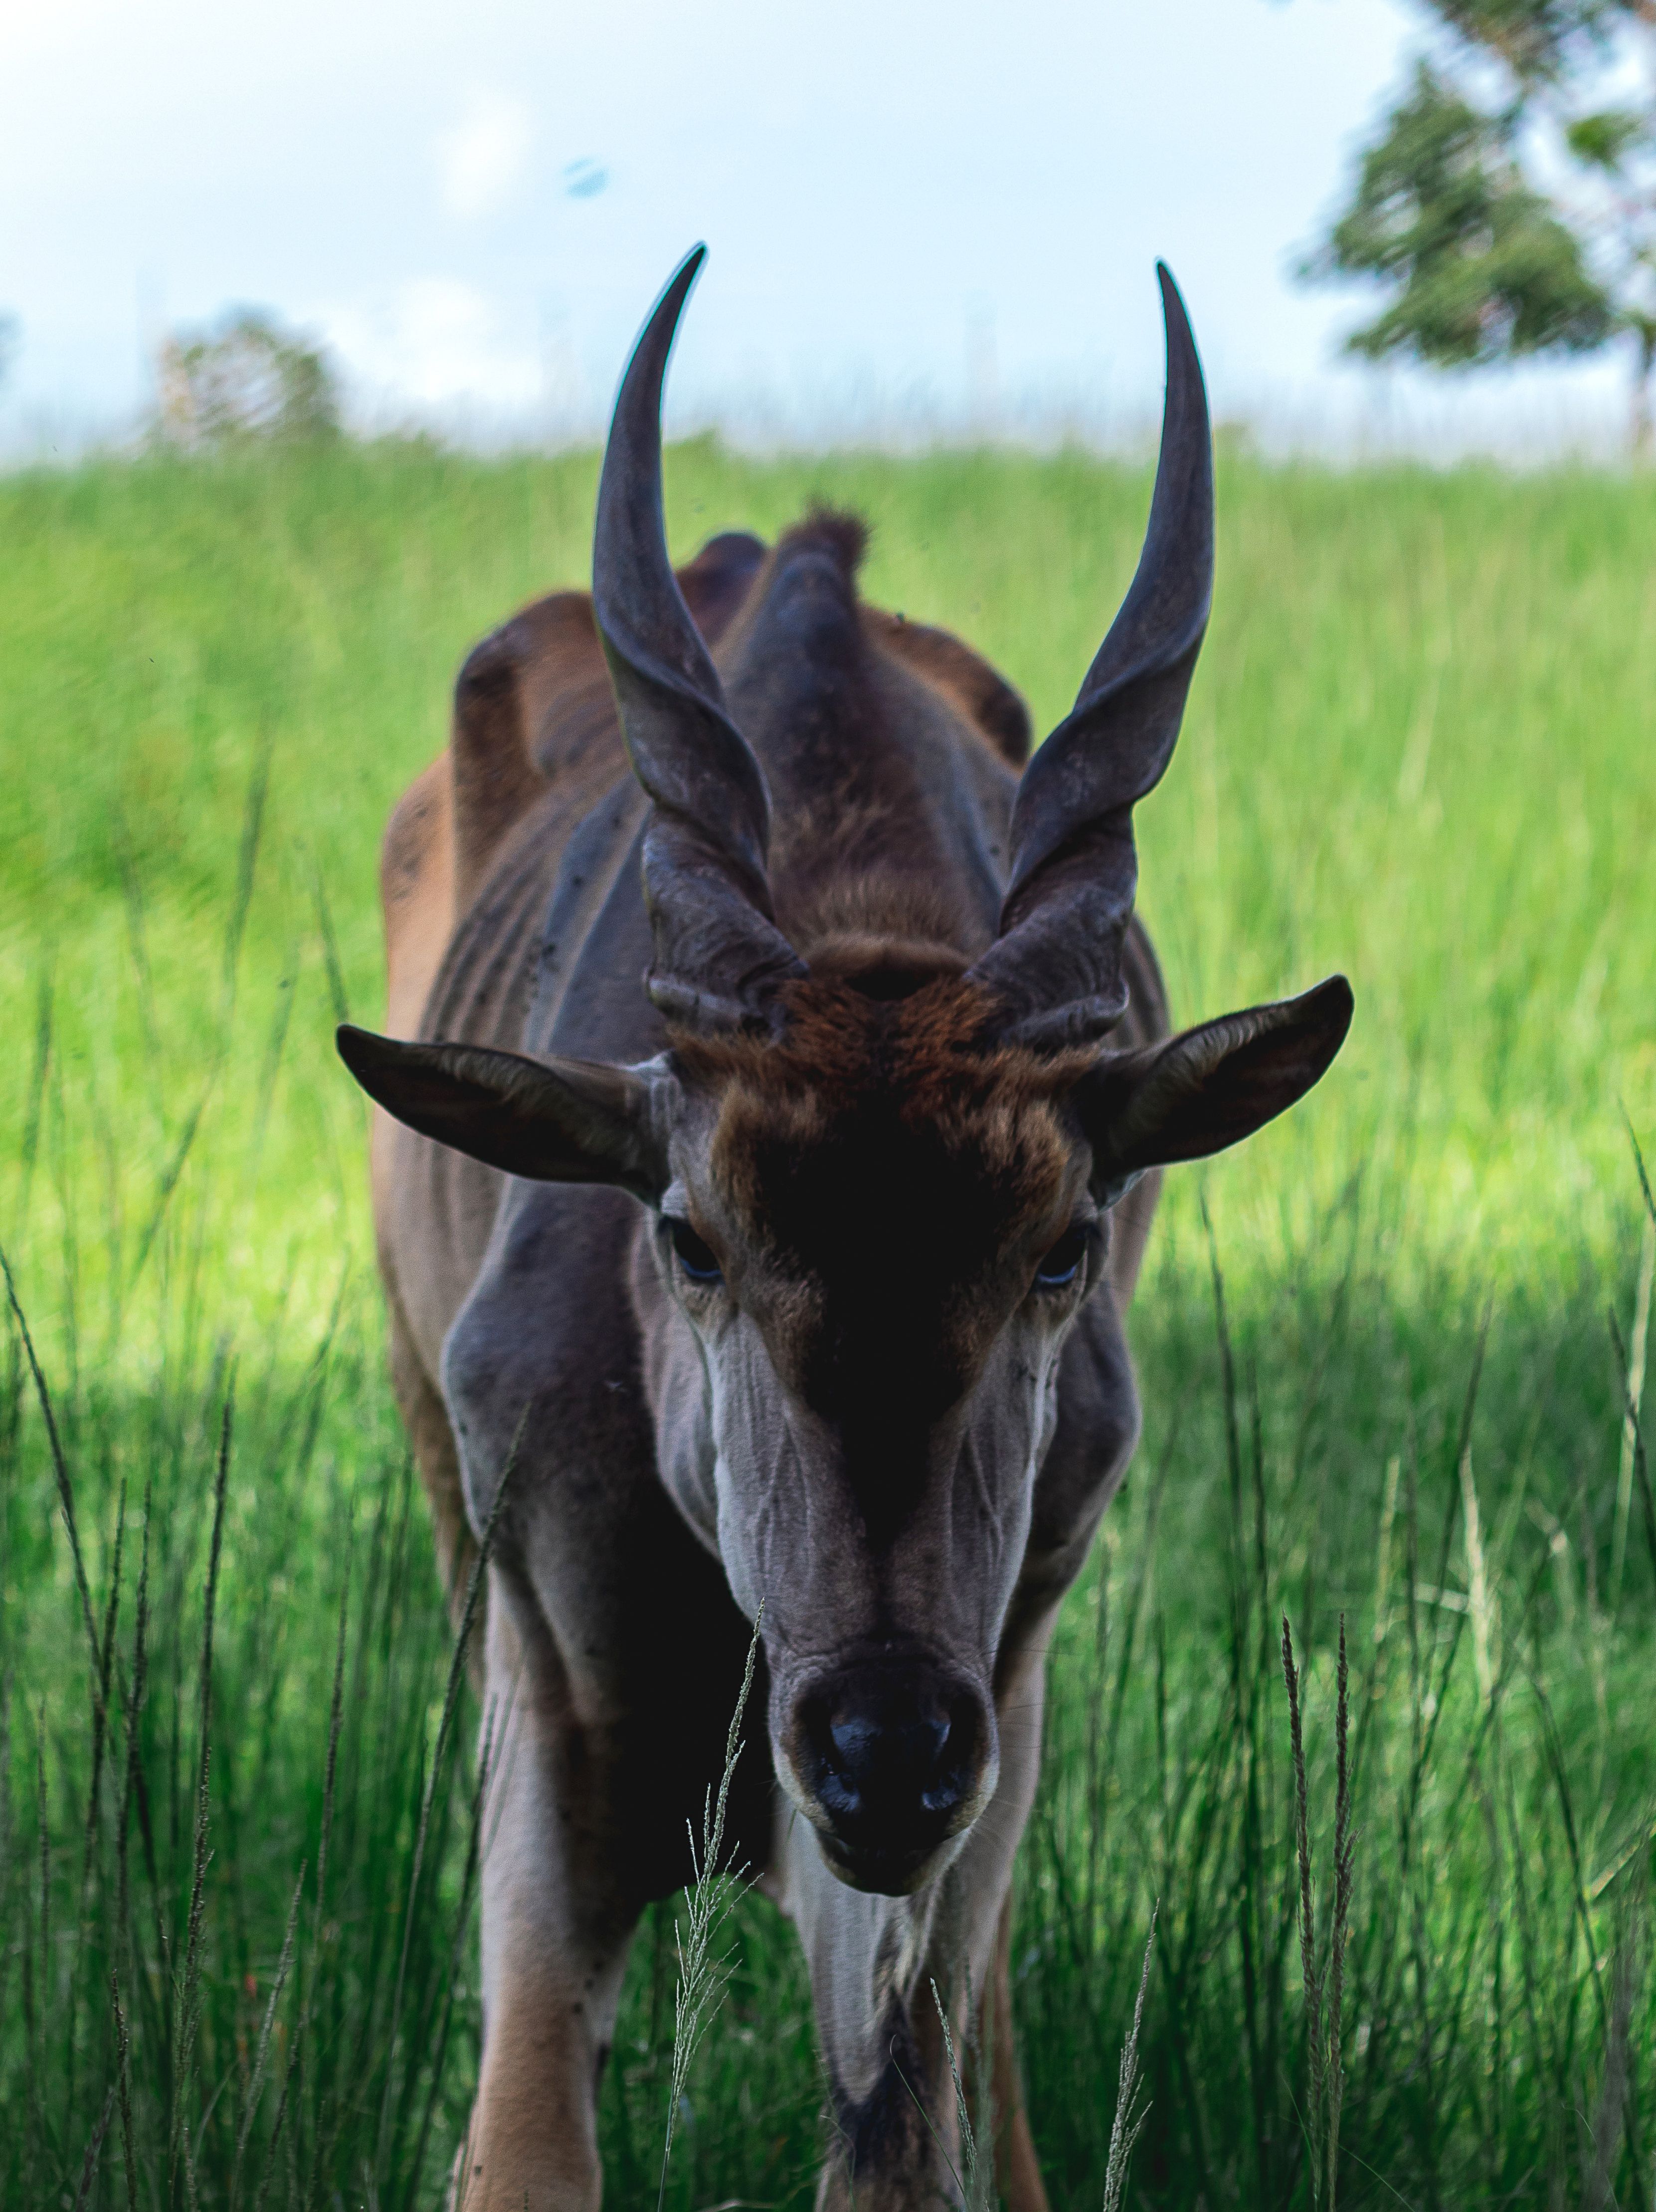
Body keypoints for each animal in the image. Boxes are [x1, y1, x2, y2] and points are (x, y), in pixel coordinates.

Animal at [338, 248, 1351, 2211]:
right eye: (689, 1231)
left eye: (1060, 1241)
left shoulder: (985, 1725)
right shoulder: (549, 1714)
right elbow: (525, 2137)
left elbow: (901, 2128)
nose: (883, 1746)